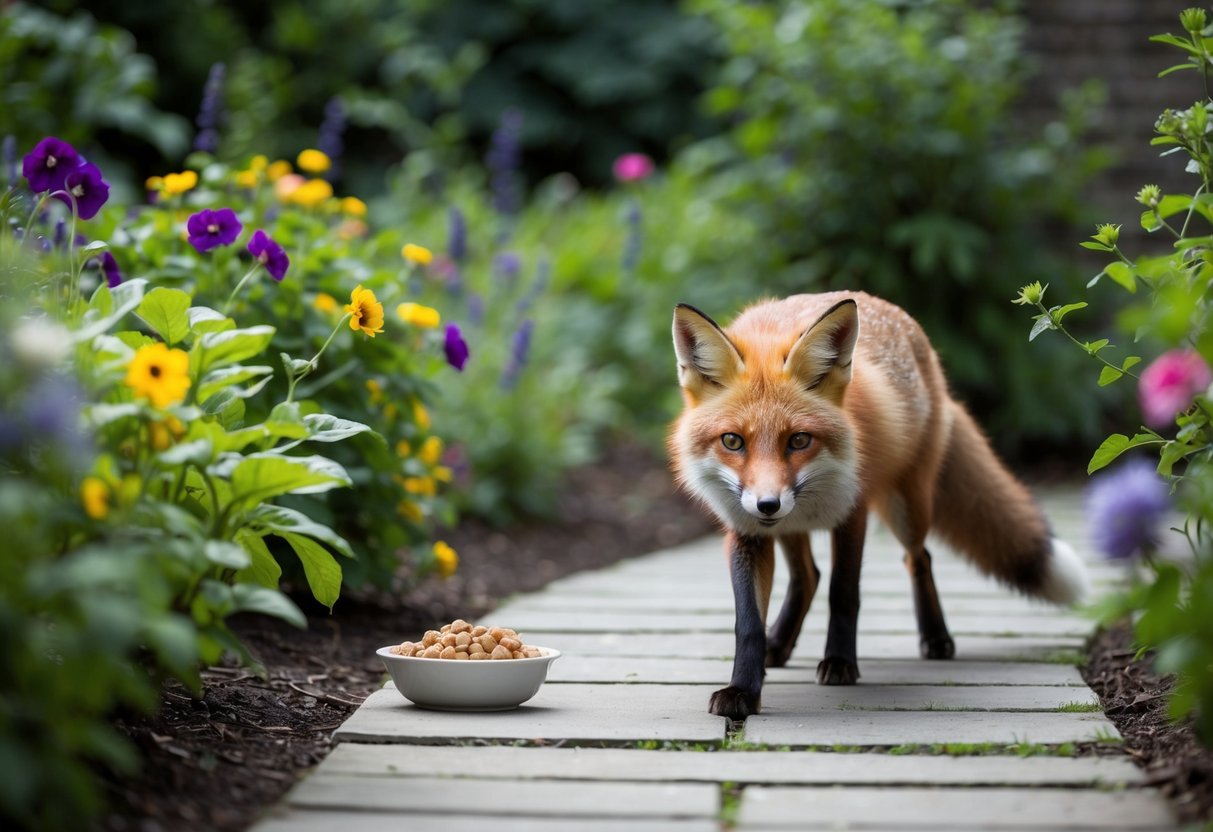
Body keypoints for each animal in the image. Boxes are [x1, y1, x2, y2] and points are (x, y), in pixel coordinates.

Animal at [669, 292, 1090, 719]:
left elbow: (843, 593)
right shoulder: (746, 529)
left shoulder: (853, 511)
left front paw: (840, 663)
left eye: (799, 440)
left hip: (908, 509)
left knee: (917, 559)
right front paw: (743, 689)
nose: (767, 504)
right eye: (733, 441)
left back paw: (936, 638)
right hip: (789, 527)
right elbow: (748, 623)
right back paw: (779, 645)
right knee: (808, 576)